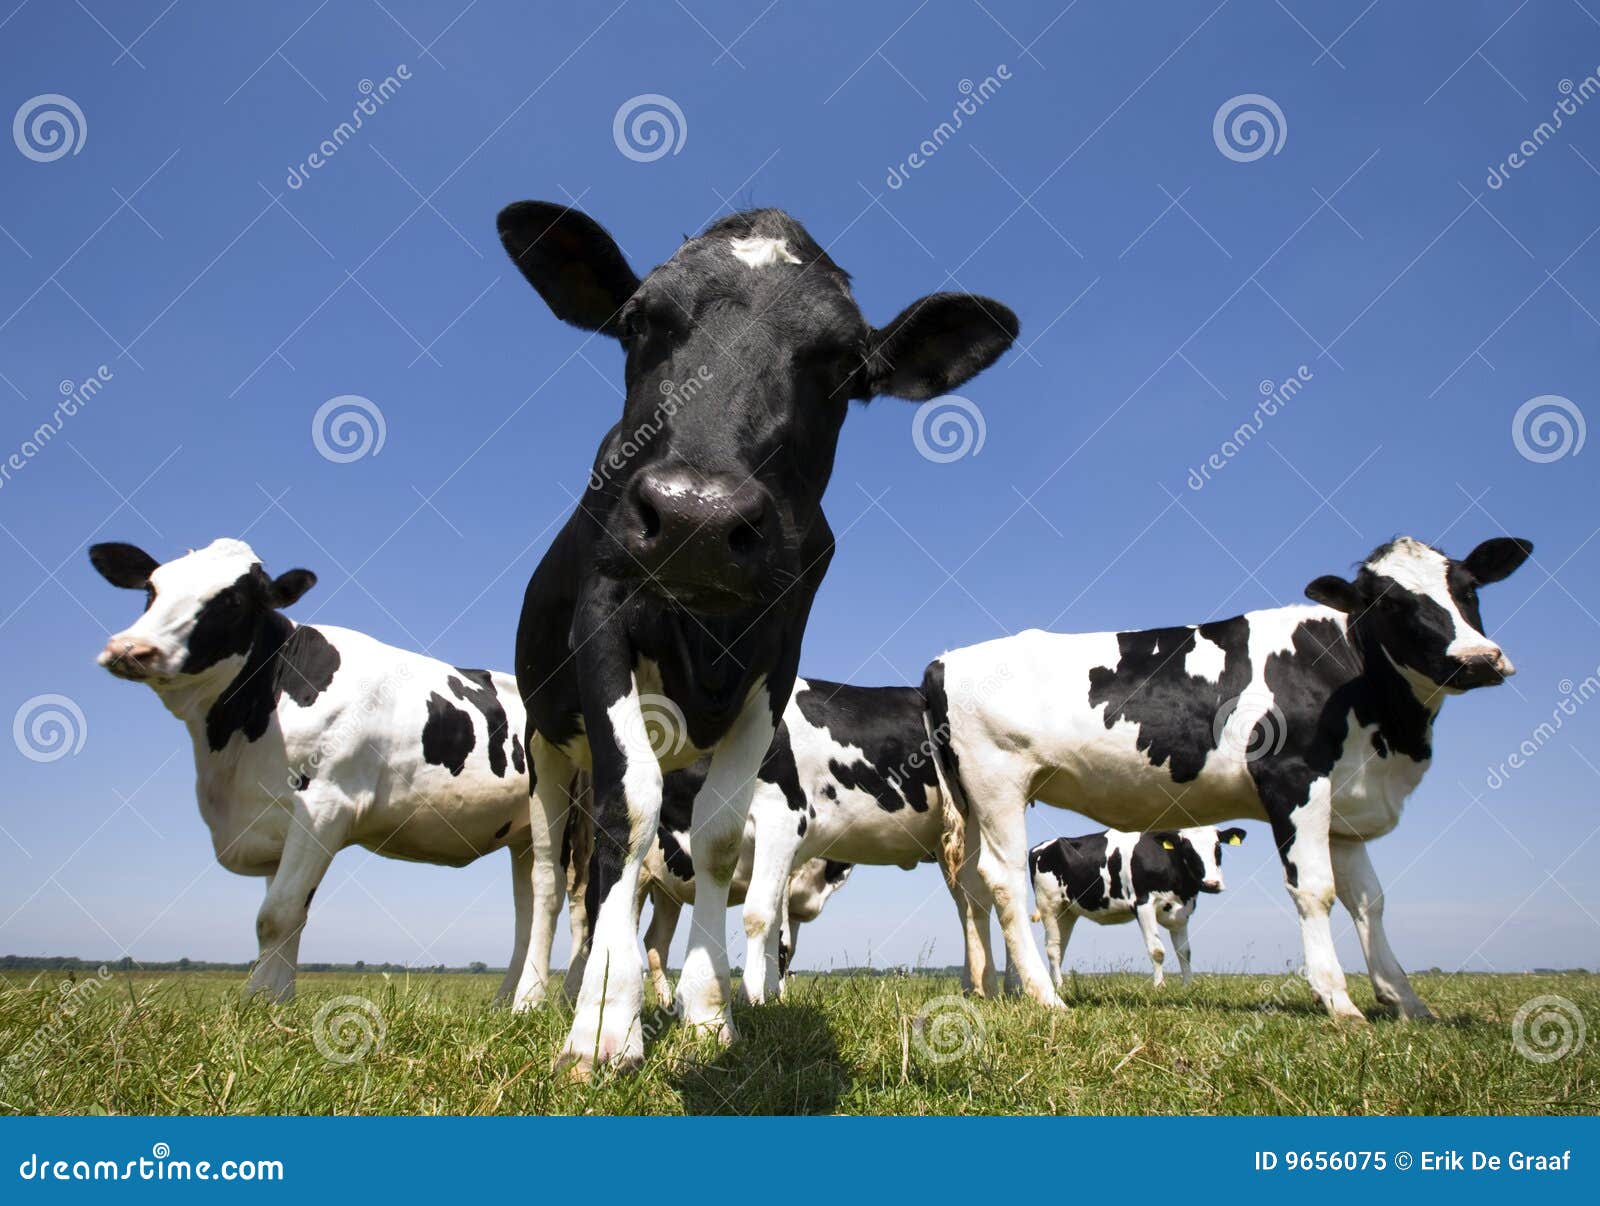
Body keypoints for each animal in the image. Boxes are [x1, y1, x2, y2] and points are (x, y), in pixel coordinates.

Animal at [89, 538, 543, 1002]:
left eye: (232, 600)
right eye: (151, 588)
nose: (131, 648)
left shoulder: (326, 808)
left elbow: (277, 914)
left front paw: (259, 1000)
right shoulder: (273, 822)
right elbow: (286, 920)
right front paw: (272, 1002)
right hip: (523, 837)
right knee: (527, 915)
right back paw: (505, 1000)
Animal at [496, 199, 1016, 1075]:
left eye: (843, 364)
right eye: (638, 320)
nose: (697, 520)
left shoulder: (775, 662)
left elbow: (712, 836)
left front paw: (708, 1015)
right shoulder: (602, 619)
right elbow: (629, 812)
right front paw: (603, 1024)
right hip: (546, 738)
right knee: (549, 870)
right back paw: (539, 993)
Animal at [1027, 826, 1246, 988]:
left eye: (1218, 848)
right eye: (1188, 850)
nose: (1212, 884)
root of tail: (1041, 847)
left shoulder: (1181, 912)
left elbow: (1185, 952)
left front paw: (1188, 987)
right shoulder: (1143, 903)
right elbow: (1157, 950)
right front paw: (1160, 987)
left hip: (1068, 911)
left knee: (1060, 946)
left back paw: (1056, 984)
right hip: (1049, 905)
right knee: (1052, 948)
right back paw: (1059, 986)